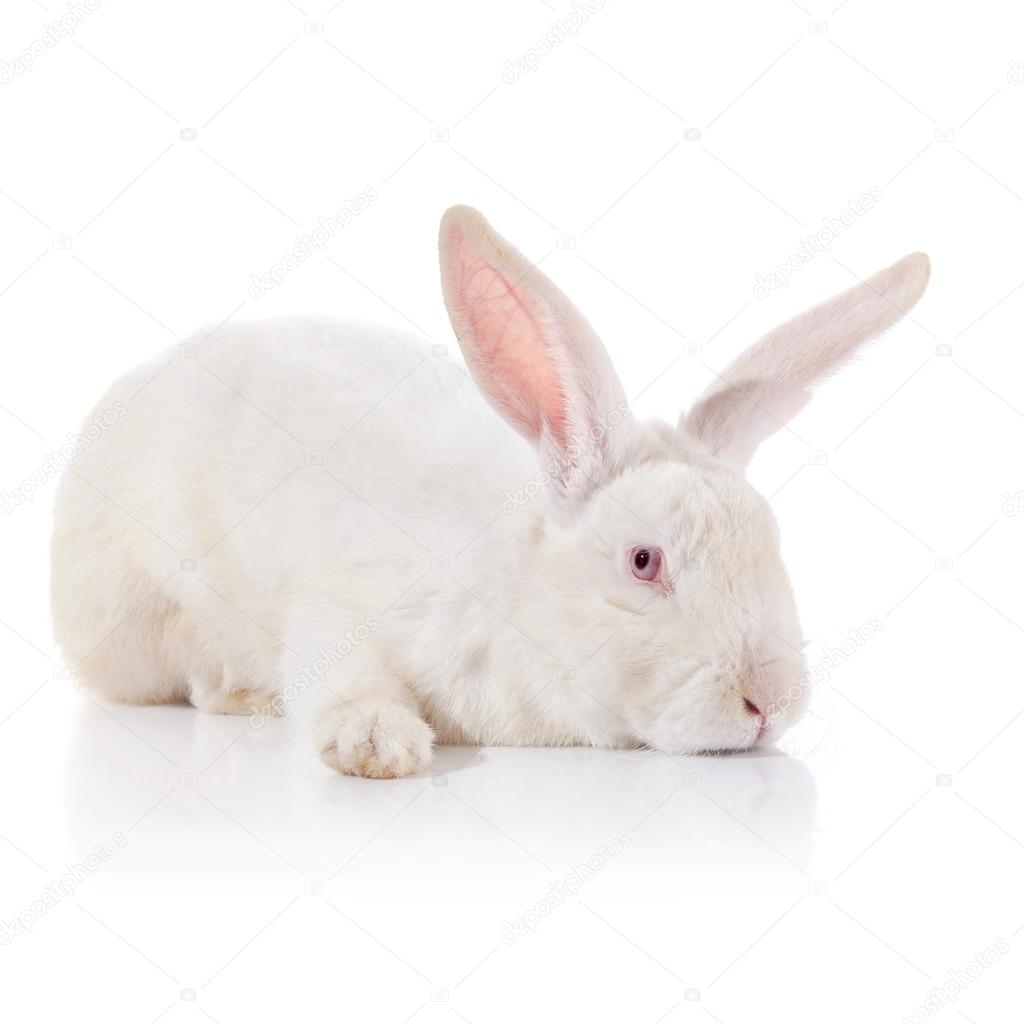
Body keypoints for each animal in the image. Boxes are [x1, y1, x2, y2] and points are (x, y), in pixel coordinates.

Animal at [50, 205, 930, 778]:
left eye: (776, 543)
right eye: (643, 562)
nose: (768, 702)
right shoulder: (341, 611)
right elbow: (339, 674)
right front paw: (377, 744)